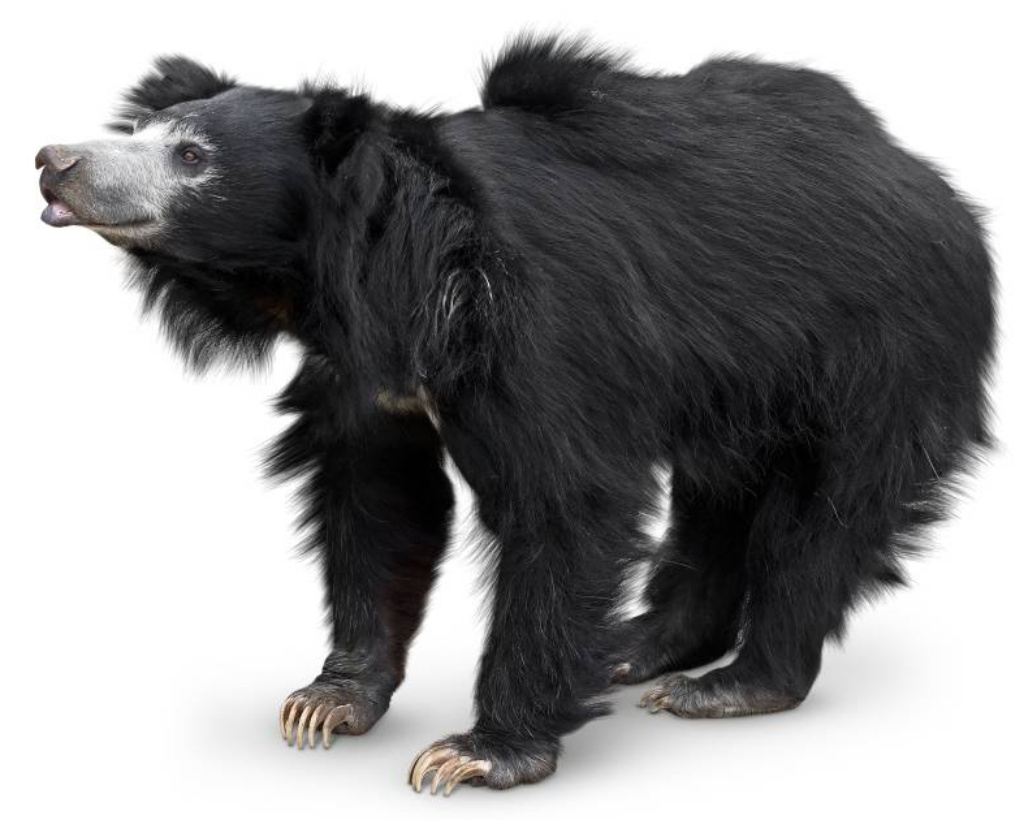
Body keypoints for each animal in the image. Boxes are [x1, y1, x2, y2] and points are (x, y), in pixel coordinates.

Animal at [36, 35, 995, 794]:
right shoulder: (362, 367)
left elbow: (565, 503)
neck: (351, 271)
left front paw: (475, 754)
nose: (52, 159)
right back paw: (639, 648)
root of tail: (926, 177)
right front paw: (327, 703)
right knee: (718, 490)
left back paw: (735, 683)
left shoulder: (529, 328)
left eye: (193, 156)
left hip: (874, 346)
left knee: (823, 514)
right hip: (737, 377)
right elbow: (378, 497)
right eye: (137, 136)